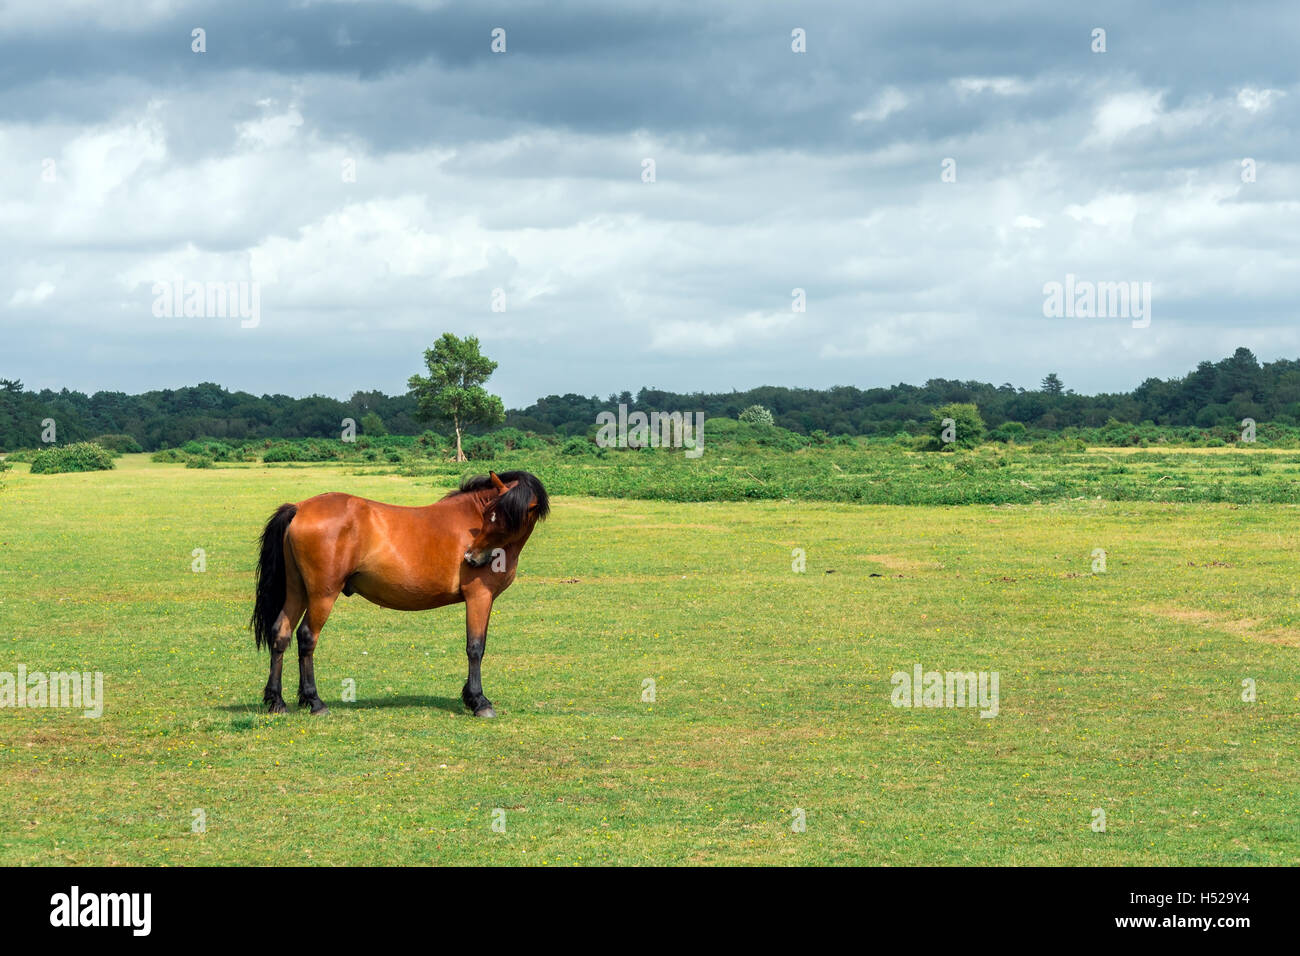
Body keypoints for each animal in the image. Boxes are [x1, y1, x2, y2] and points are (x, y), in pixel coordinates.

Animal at [248, 470, 549, 718]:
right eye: (489, 515)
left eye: (505, 520)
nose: (471, 557)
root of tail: (299, 508)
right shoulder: (479, 597)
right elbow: (475, 647)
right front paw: (478, 701)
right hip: (322, 595)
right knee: (306, 637)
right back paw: (315, 702)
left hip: (298, 592)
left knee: (281, 634)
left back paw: (277, 702)